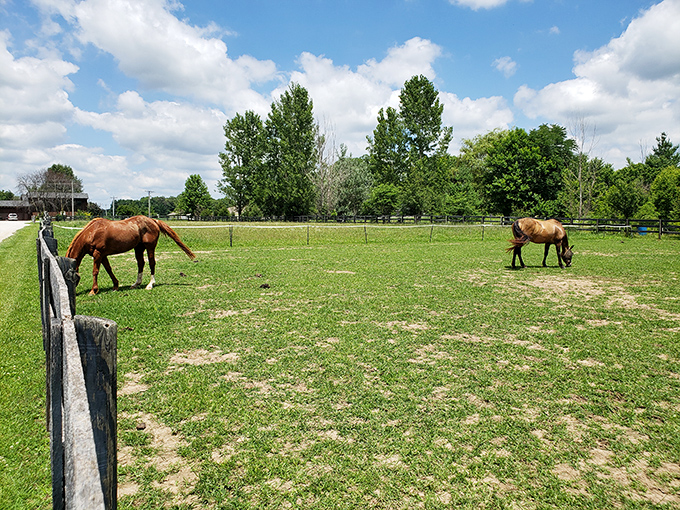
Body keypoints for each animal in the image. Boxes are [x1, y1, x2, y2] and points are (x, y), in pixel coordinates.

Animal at [66, 216, 196, 295]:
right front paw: (115, 286)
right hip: (138, 248)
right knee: (141, 263)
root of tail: (153, 220)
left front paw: (93, 290)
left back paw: (150, 284)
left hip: (150, 247)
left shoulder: (98, 254)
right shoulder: (103, 255)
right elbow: (108, 269)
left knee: (152, 263)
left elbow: (95, 271)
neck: (91, 232)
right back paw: (136, 284)